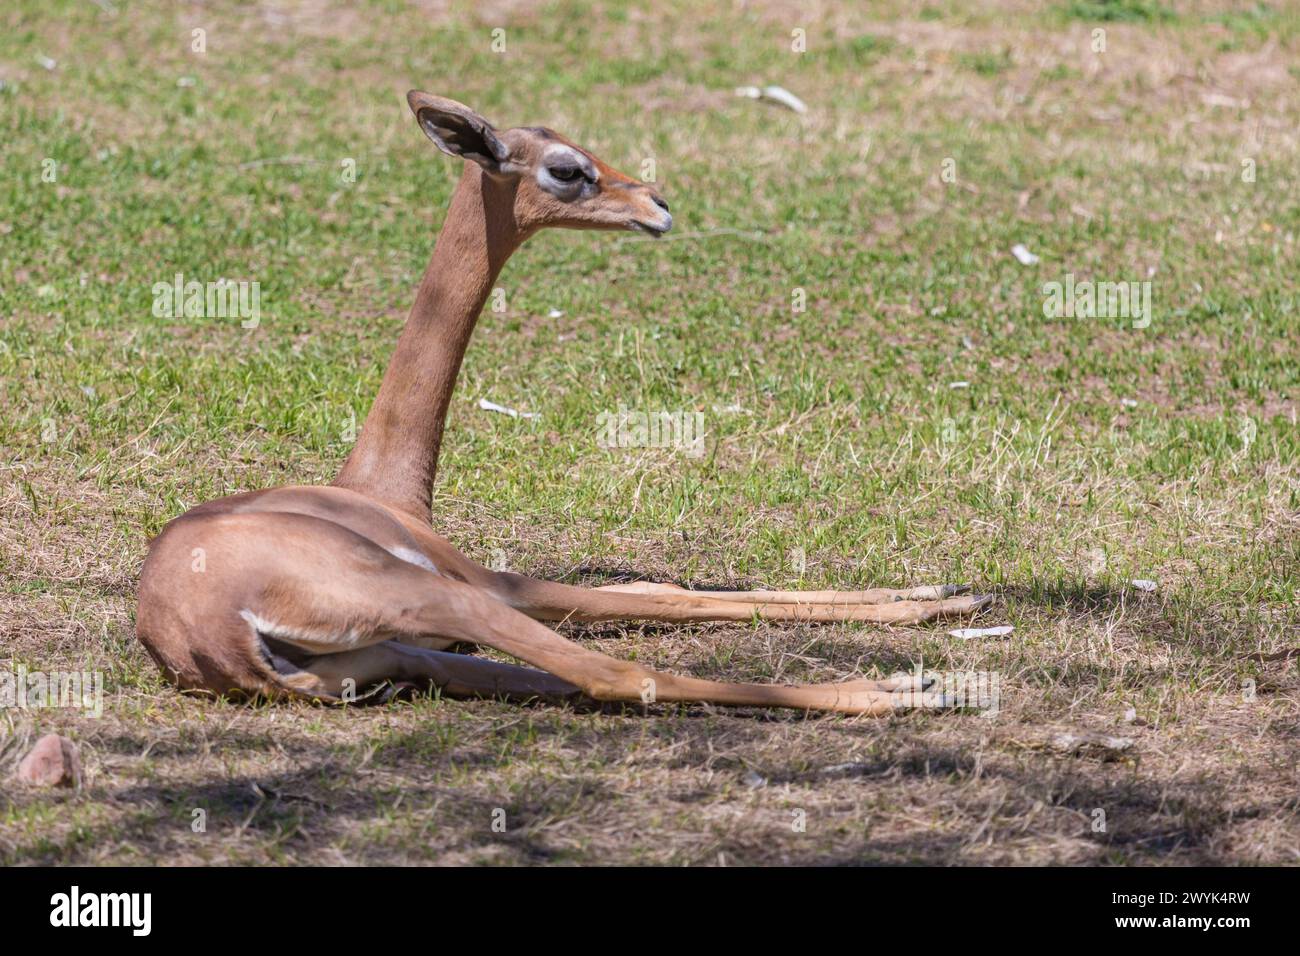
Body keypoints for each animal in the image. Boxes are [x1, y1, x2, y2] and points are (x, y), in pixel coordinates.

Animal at [136, 92, 992, 717]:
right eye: (566, 168)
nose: (656, 203)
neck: (376, 490)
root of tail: (205, 631)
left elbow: (655, 590)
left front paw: (937, 589)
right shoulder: (495, 580)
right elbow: (665, 595)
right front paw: (941, 597)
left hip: (406, 649)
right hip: (442, 599)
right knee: (622, 673)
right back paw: (918, 688)